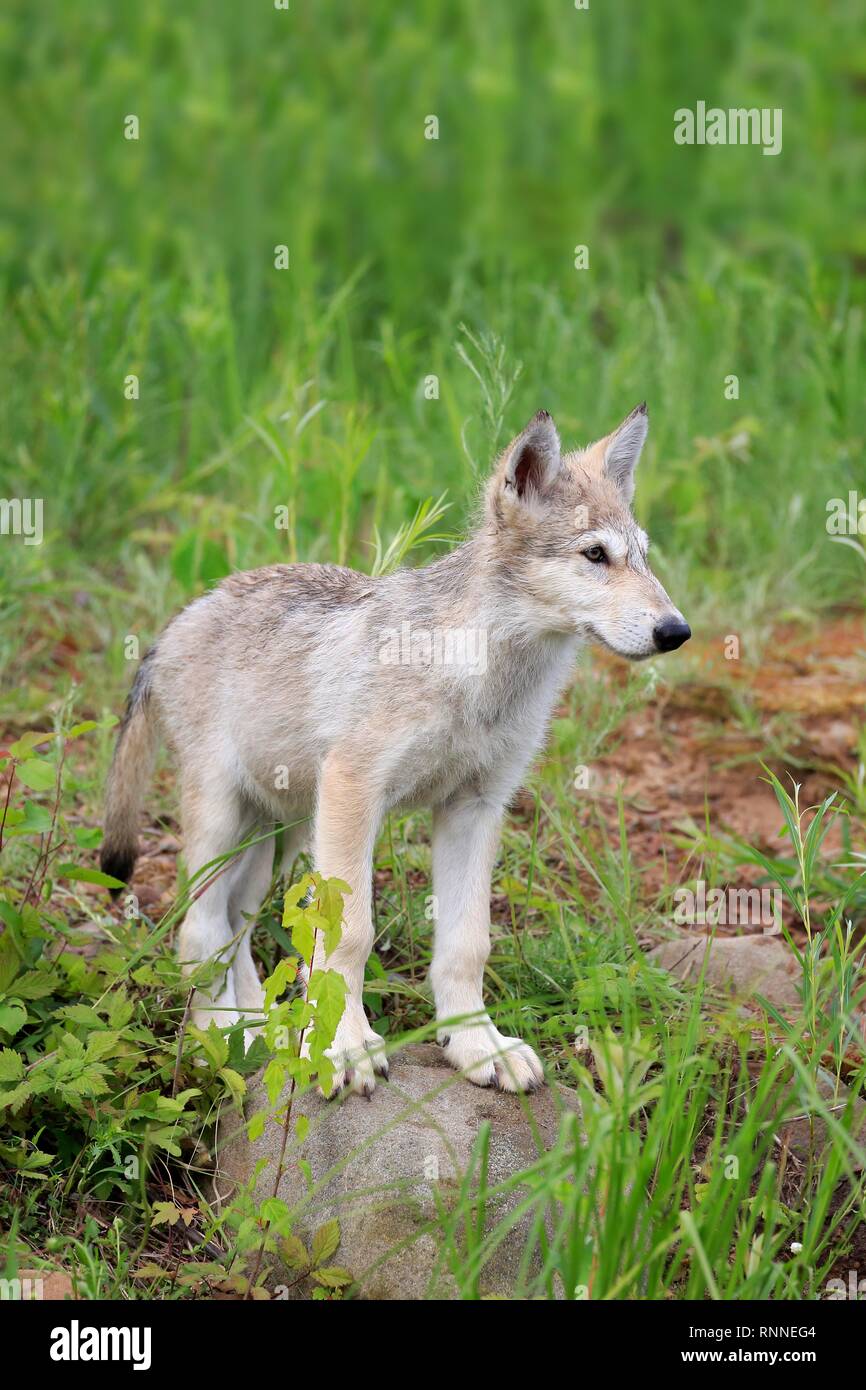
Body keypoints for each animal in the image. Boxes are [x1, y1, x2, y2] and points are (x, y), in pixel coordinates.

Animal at [101, 403, 689, 1095]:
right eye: (595, 554)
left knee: (235, 928)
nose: (676, 631)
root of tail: (177, 620)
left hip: (282, 836)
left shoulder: (475, 808)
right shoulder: (355, 793)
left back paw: (258, 1032)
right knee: (199, 932)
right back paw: (222, 1036)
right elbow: (349, 938)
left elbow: (467, 945)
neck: (479, 673)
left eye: (643, 557)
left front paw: (476, 1045)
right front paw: (342, 1048)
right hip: (227, 822)